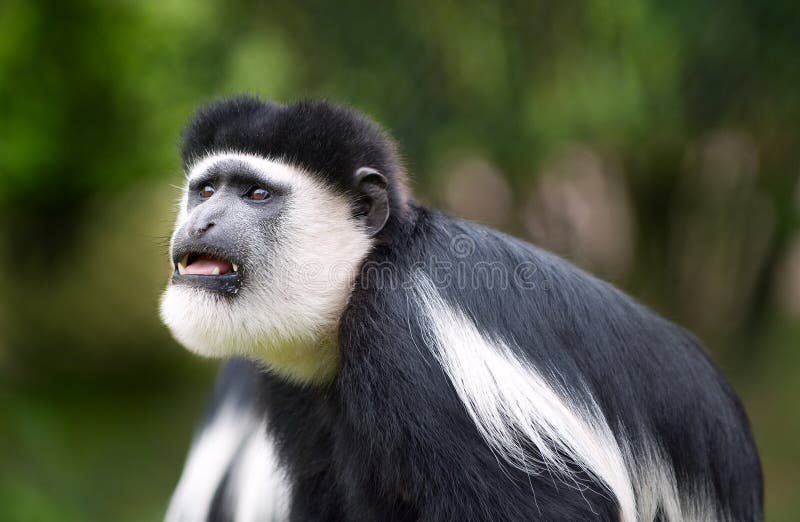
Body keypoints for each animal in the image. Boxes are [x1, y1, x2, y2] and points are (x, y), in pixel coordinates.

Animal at [160, 97, 763, 521]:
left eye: (256, 195)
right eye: (207, 190)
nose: (202, 222)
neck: (362, 274)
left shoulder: (412, 347)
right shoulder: (298, 392)